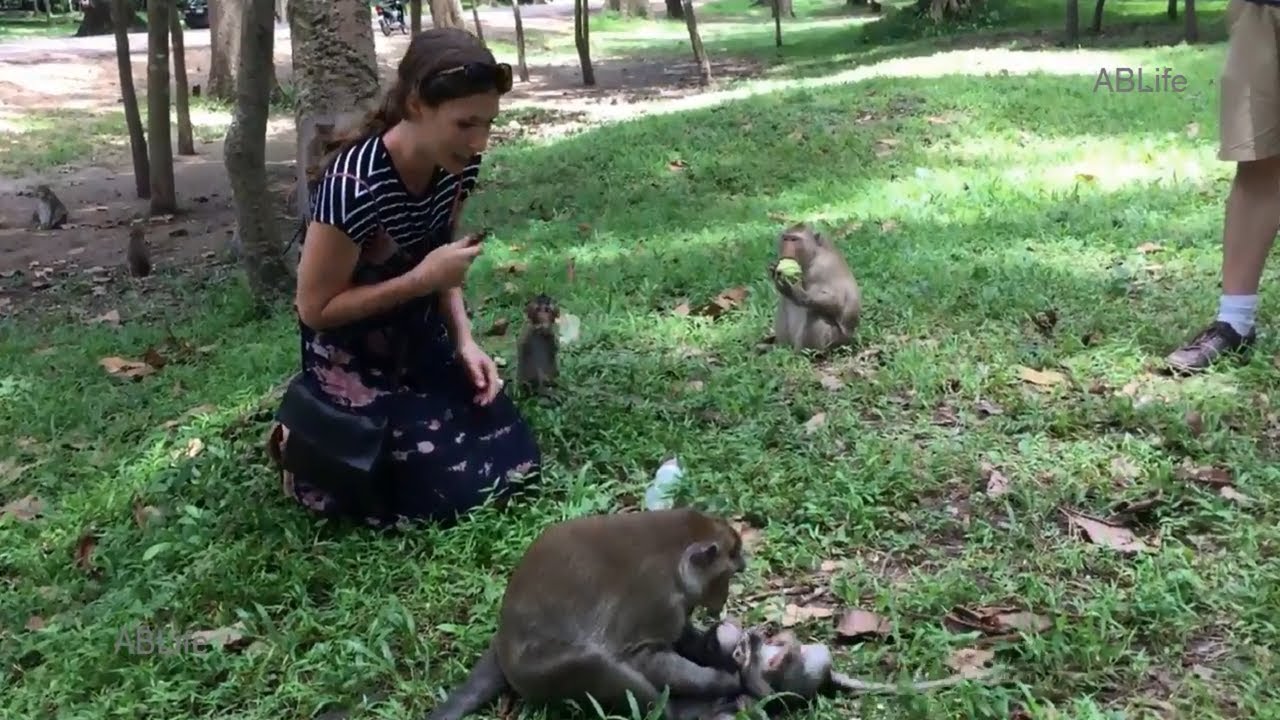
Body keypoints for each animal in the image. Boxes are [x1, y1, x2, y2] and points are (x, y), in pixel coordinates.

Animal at [422, 508, 761, 720]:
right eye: (726, 575)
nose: (723, 598)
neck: (671, 547)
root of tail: (502, 641)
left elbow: (680, 636)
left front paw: (713, 649)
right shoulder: (656, 600)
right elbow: (645, 658)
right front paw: (722, 681)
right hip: (535, 674)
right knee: (594, 664)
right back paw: (677, 712)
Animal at [770, 223, 861, 354]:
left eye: (794, 240)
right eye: (785, 239)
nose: (786, 248)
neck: (813, 256)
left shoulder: (822, 268)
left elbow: (836, 300)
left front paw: (797, 293)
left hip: (835, 341)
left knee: (815, 312)